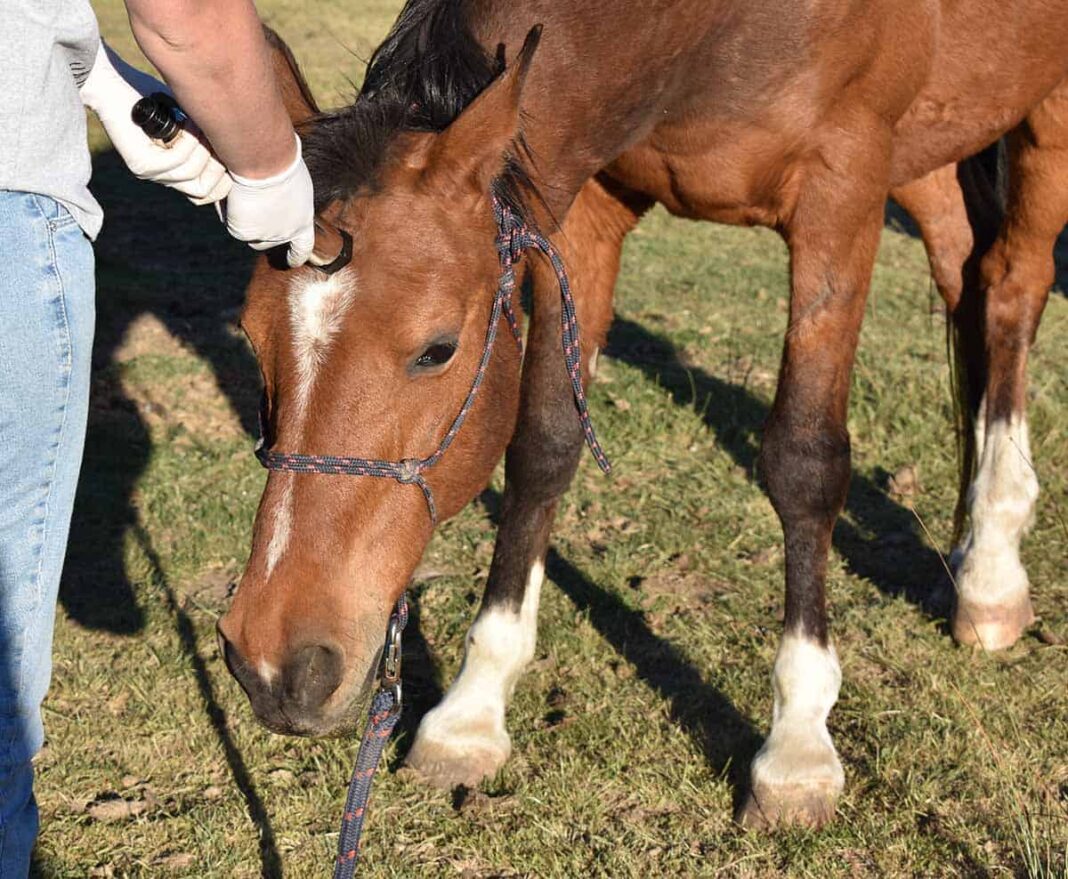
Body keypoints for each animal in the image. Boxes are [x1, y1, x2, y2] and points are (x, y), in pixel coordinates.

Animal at [217, 0, 1068, 829]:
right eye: (252, 337)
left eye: (437, 348)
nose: (273, 662)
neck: (703, 25)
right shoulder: (584, 204)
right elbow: (543, 444)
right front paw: (471, 712)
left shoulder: (844, 189)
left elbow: (805, 459)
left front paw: (797, 749)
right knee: (964, 274)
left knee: (1010, 286)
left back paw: (993, 571)